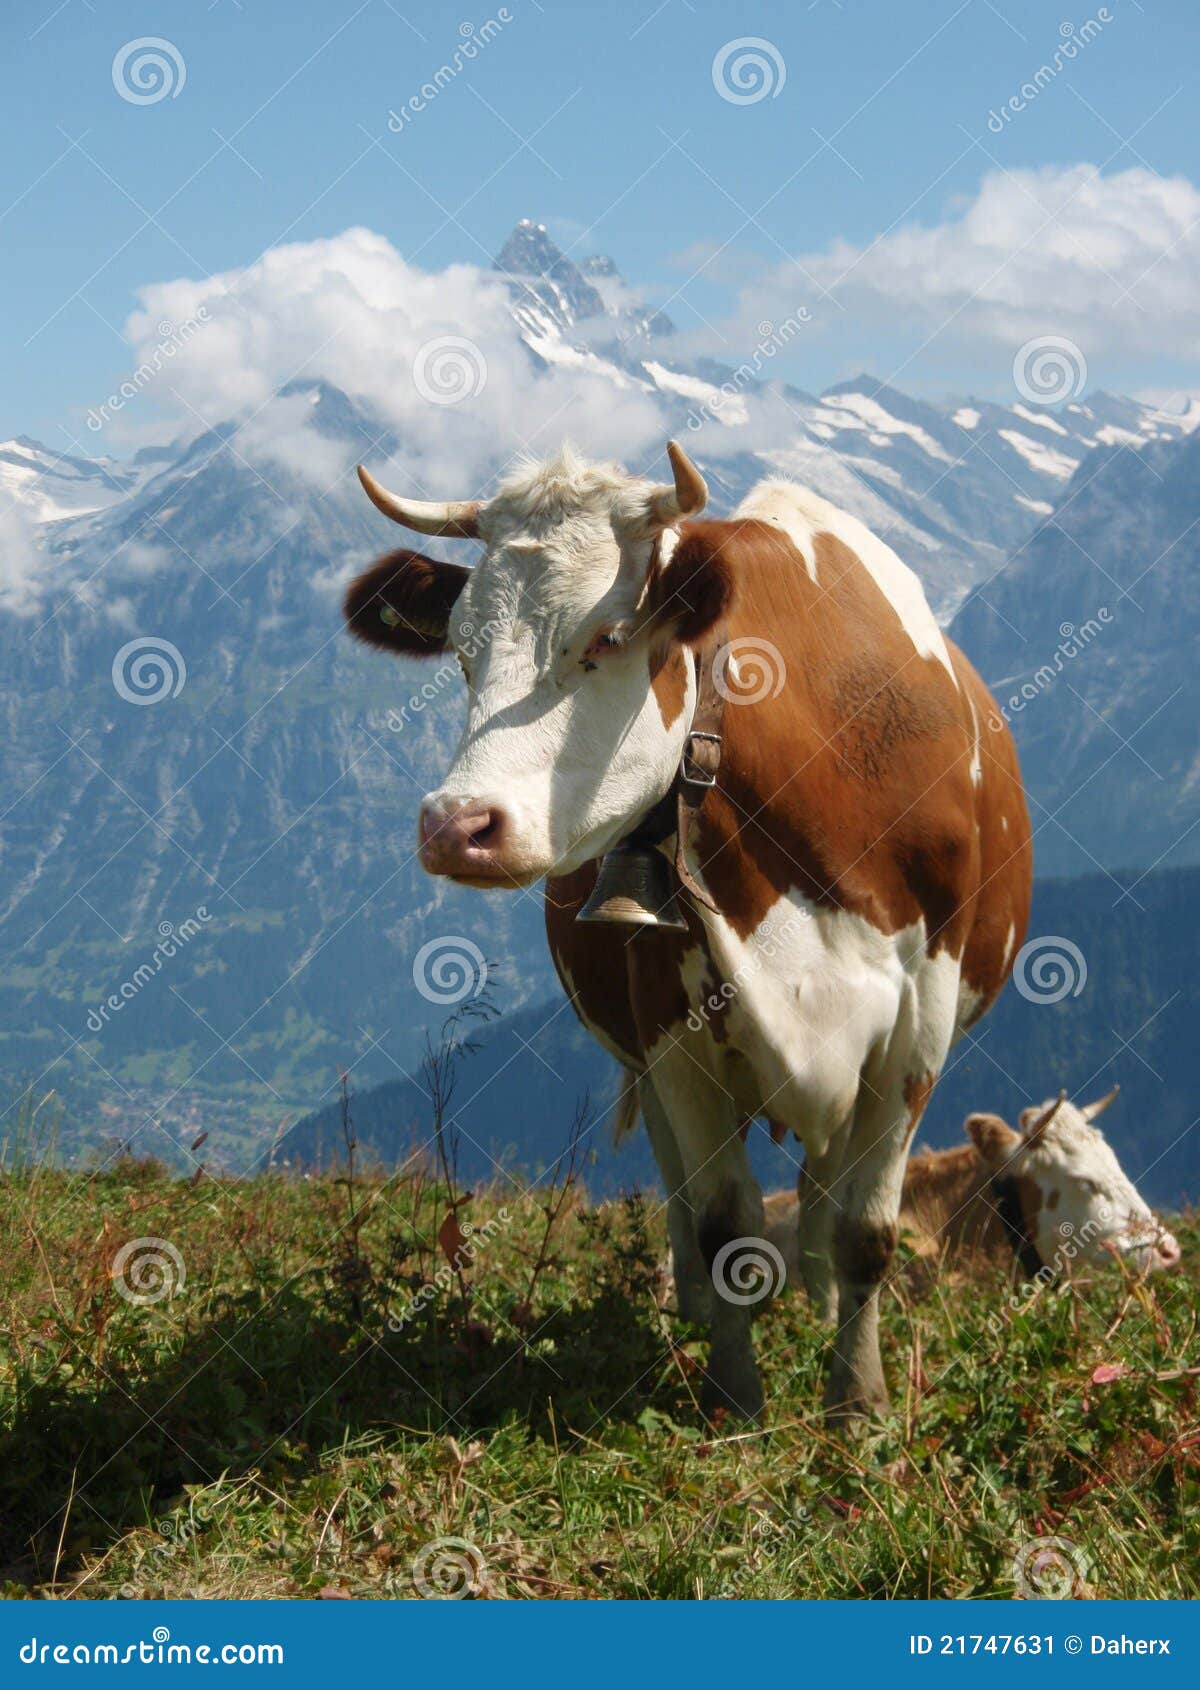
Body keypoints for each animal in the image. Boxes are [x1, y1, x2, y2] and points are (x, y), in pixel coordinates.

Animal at [343, 441, 1033, 1424]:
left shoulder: (917, 1024)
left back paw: (817, 1301)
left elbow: (866, 1231)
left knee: (822, 1191)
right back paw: (700, 1310)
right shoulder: (672, 1022)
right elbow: (721, 1225)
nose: (455, 825)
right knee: (686, 1194)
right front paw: (735, 1398)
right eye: (463, 653)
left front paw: (857, 1403)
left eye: (605, 638)